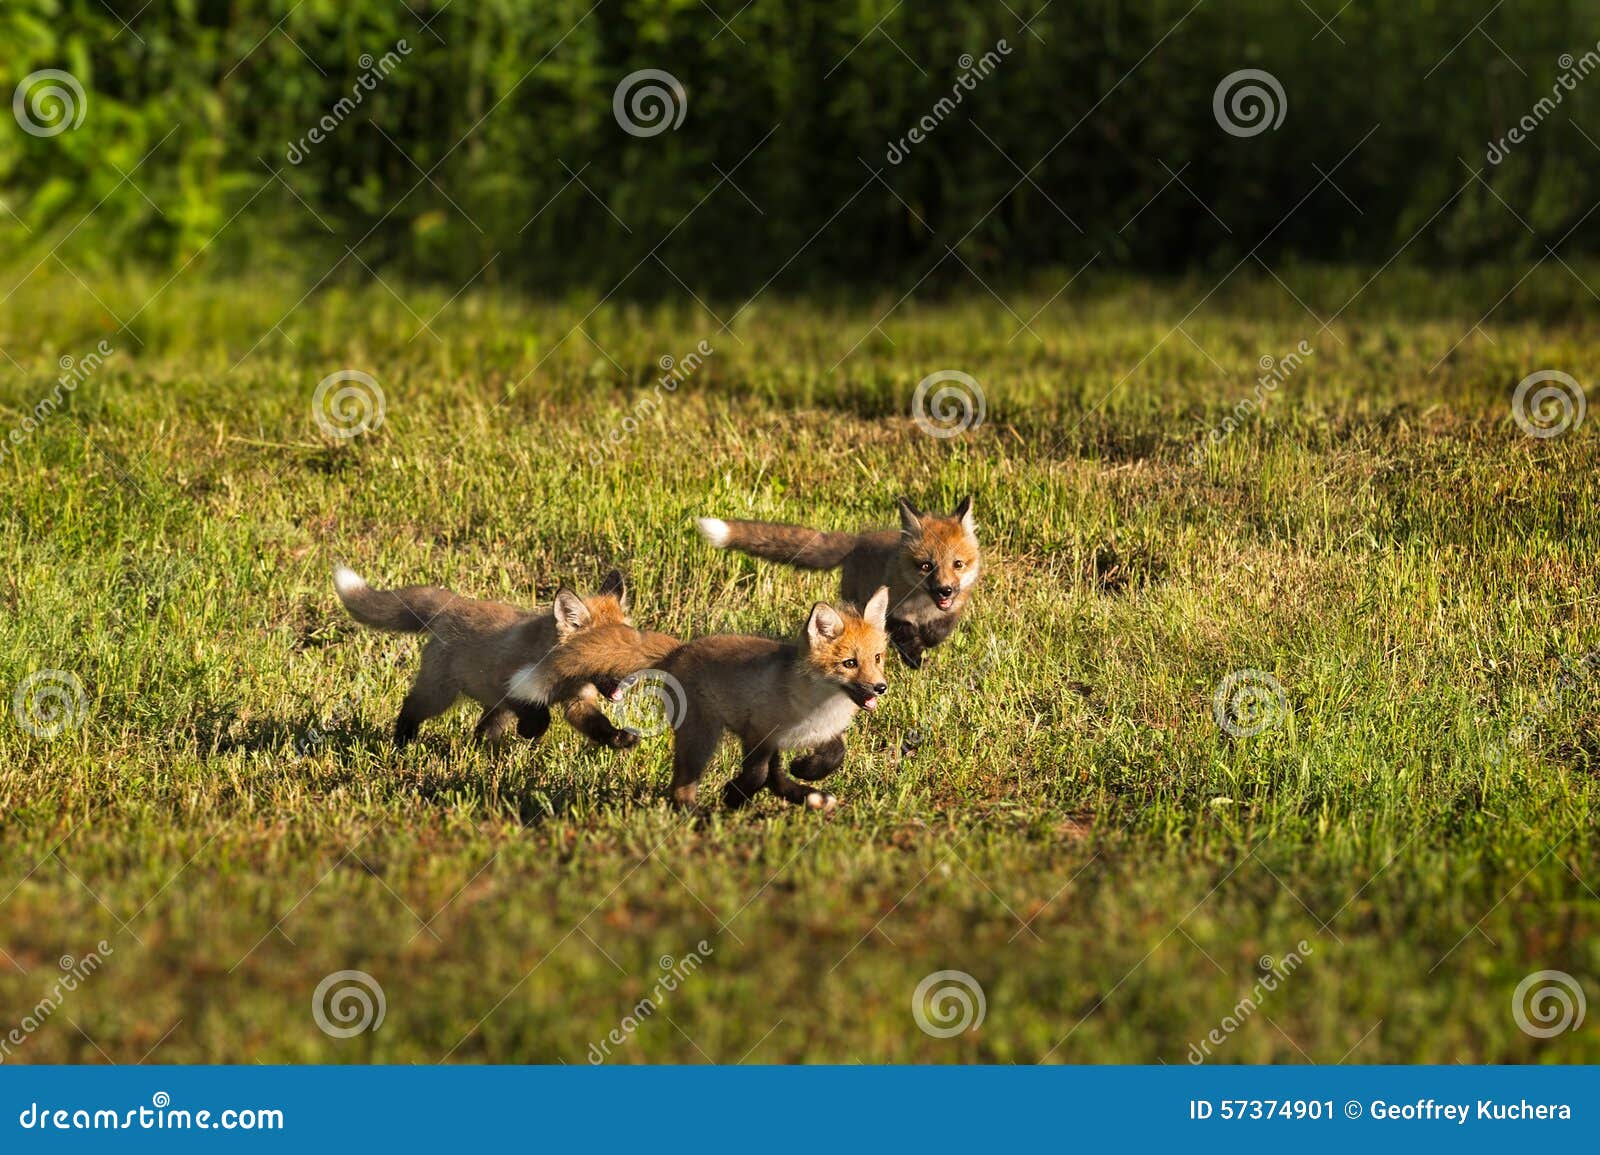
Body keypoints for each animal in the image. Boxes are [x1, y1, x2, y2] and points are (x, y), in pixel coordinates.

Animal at [332, 565, 655, 749]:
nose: (632, 679)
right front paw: (530, 730)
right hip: (439, 696)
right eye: (607, 654)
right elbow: (539, 713)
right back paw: (402, 742)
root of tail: (456, 603)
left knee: (484, 729)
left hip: (485, 707)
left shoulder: (578, 701)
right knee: (411, 705)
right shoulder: (506, 682)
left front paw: (619, 739)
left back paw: (480, 750)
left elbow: (597, 725)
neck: (564, 678)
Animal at [549, 588, 892, 813]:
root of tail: (681, 649)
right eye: (849, 663)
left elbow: (835, 755)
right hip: (701, 740)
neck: (819, 707)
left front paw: (807, 771)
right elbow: (757, 775)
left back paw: (808, 796)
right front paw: (733, 796)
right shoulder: (757, 733)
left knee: (774, 777)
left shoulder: (812, 735)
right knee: (681, 789)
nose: (880, 688)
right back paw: (696, 816)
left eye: (877, 658)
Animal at [696, 496, 979, 669]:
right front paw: (915, 657)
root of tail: (858, 540)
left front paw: (928, 641)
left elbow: (940, 630)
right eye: (926, 566)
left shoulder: (955, 604)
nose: (945, 590)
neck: (922, 605)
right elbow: (904, 633)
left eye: (958, 564)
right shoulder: (891, 612)